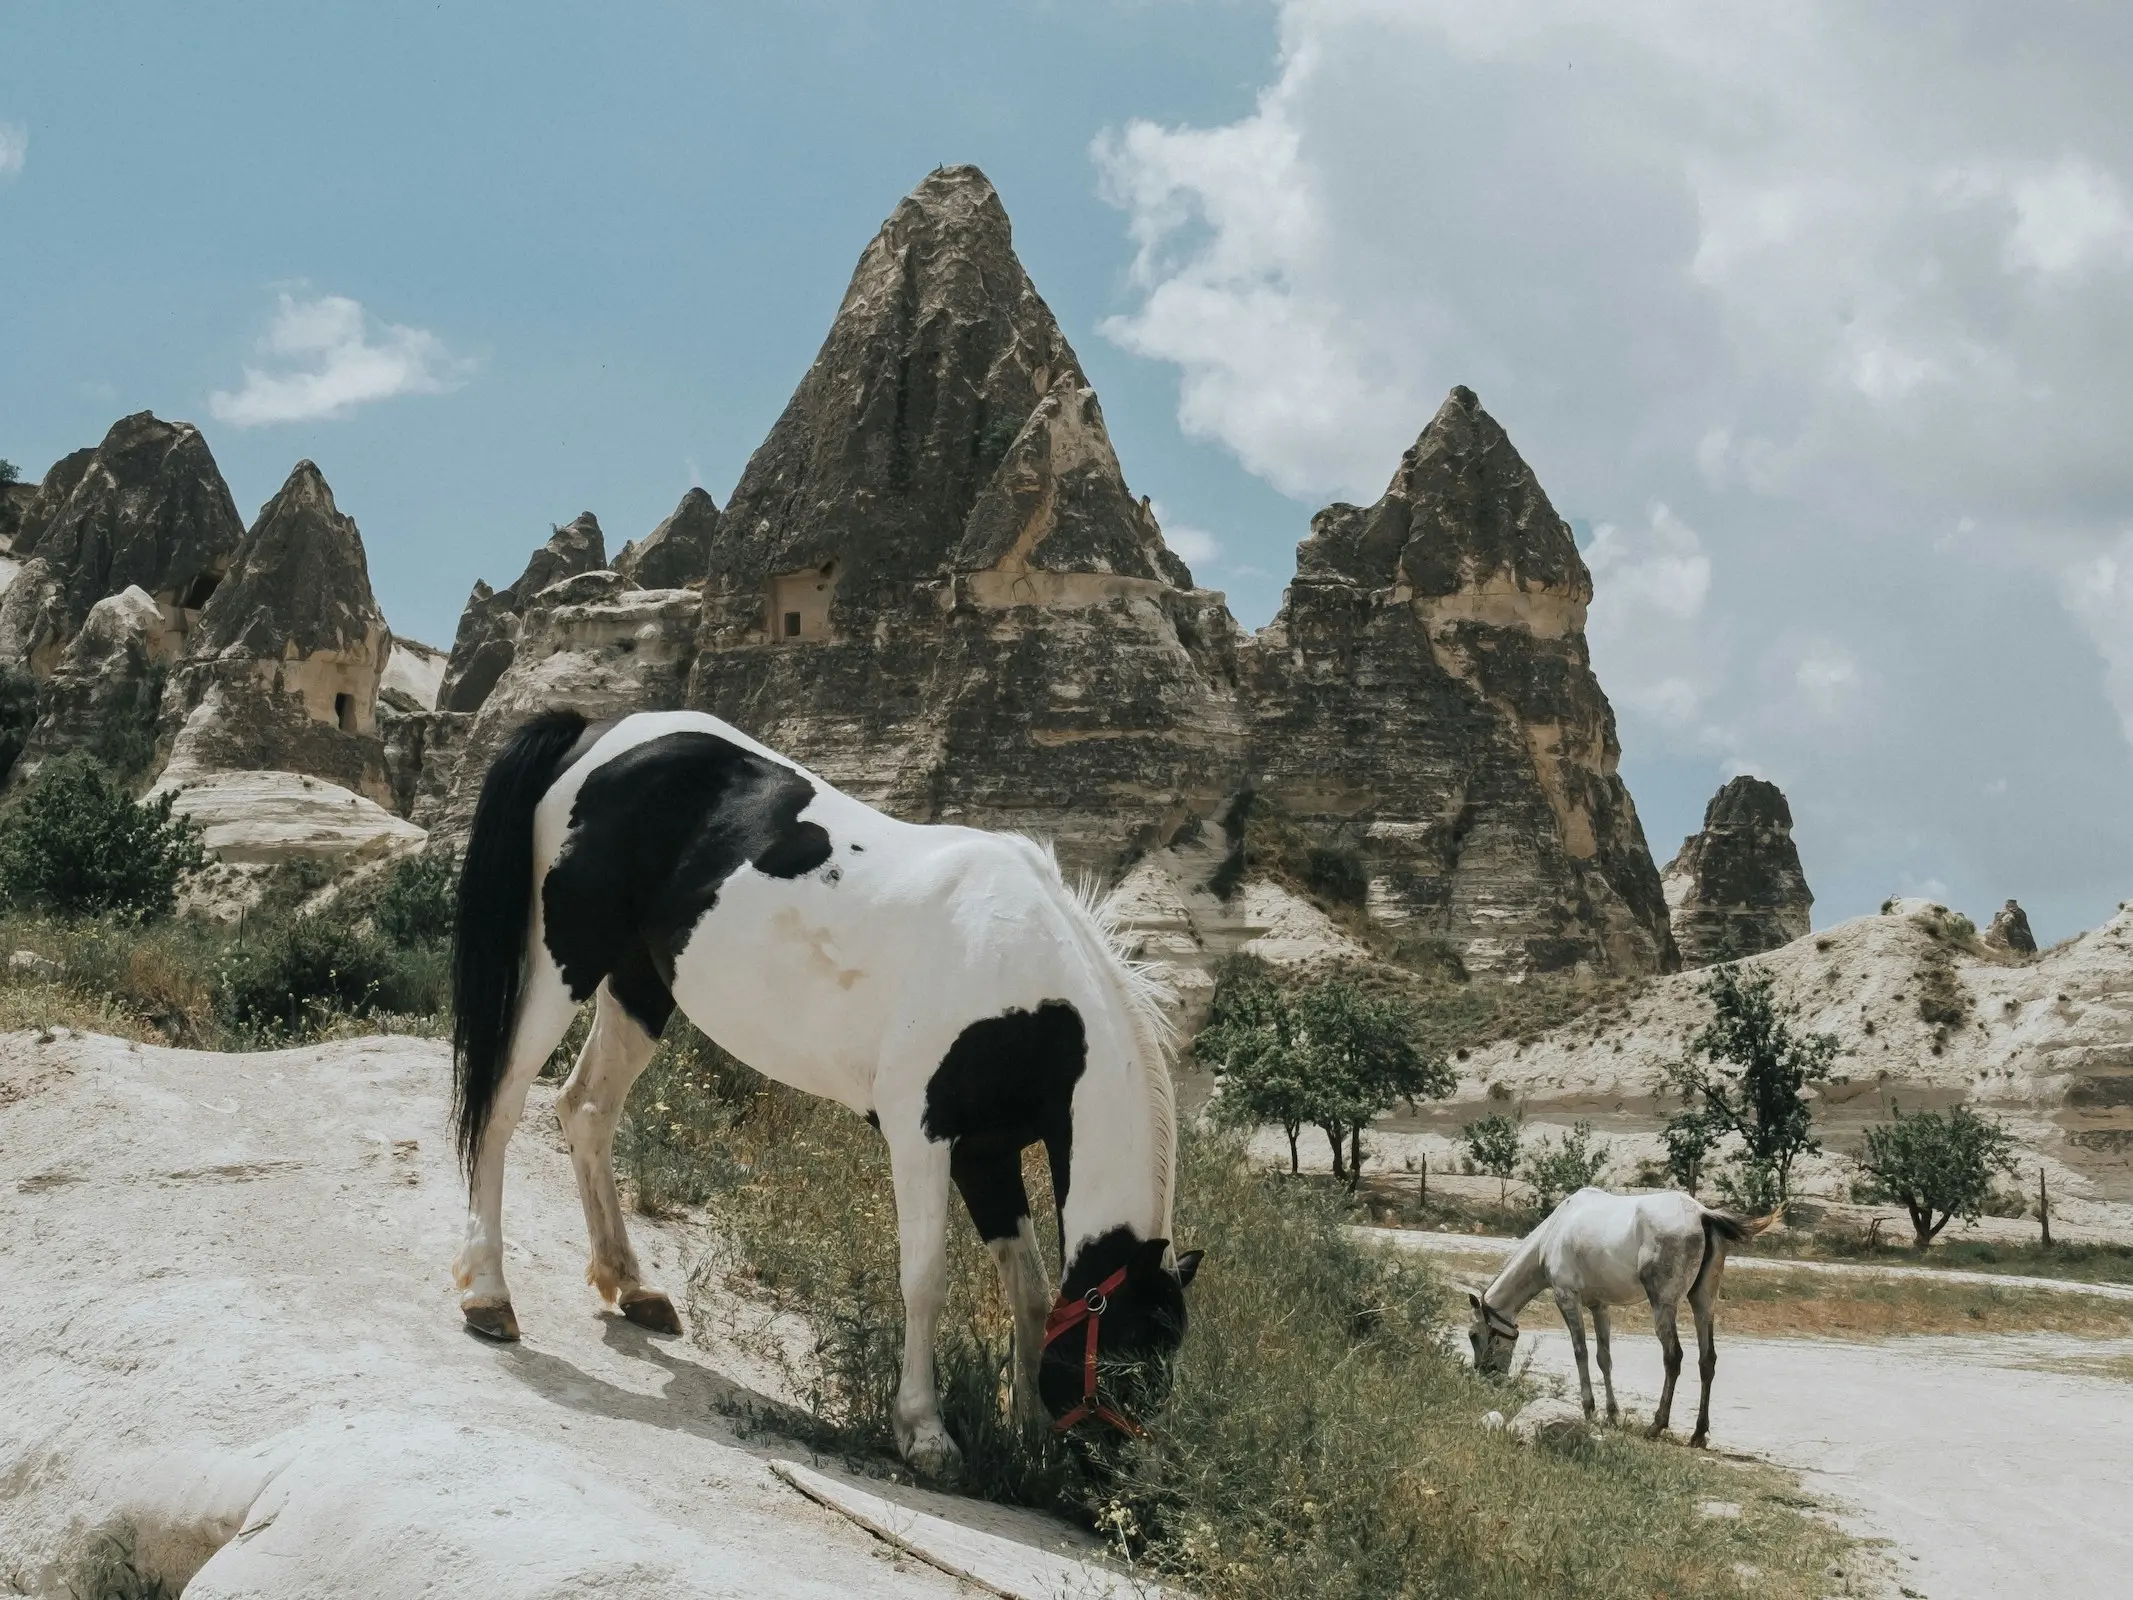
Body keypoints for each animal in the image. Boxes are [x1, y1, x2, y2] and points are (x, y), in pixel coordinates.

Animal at [447, 708, 1200, 1477]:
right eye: (1130, 1356)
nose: (1115, 1478)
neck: (1018, 971)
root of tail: (592, 733)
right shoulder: (924, 1137)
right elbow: (925, 1279)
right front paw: (924, 1432)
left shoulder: (986, 1155)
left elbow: (1029, 1290)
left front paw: (1025, 1430)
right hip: (563, 958)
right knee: (502, 1103)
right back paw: (488, 1294)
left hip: (638, 984)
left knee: (588, 1110)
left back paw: (632, 1286)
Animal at [1465, 1187, 1772, 1447]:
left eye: (1473, 1335)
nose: (1484, 1372)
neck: (1554, 1231)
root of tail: (1701, 1214)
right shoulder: (1599, 1306)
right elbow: (1604, 1358)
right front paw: (1612, 1414)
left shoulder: (1567, 1299)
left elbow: (1581, 1352)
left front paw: (1589, 1409)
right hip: (1703, 1303)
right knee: (1707, 1361)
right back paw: (1698, 1433)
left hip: (1663, 1305)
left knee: (1673, 1358)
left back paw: (1656, 1425)